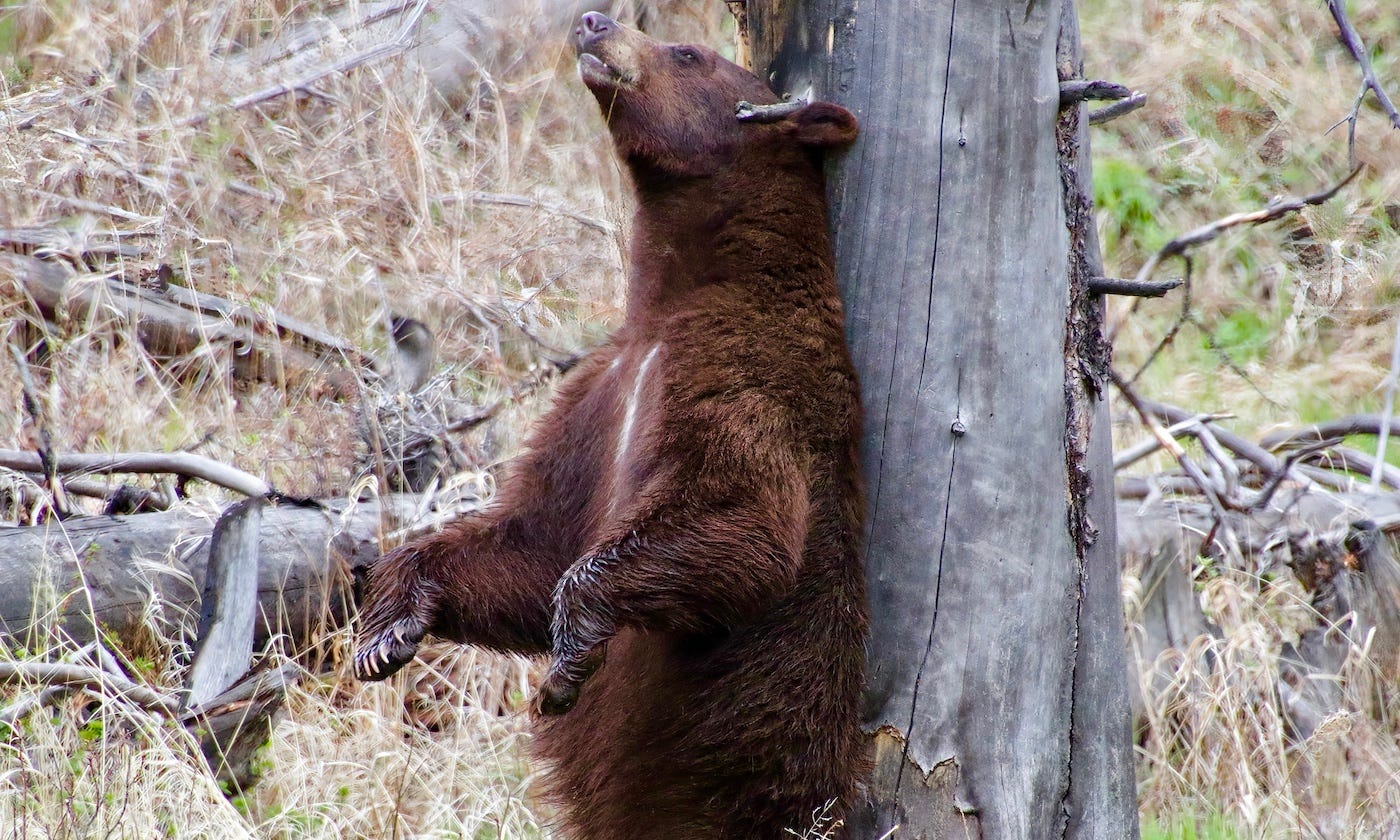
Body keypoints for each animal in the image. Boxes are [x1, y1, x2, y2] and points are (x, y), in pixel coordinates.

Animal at [354, 12, 867, 839]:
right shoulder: (596, 399)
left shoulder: (745, 375)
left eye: (689, 54)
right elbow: (533, 543)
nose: (595, 22)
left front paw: (566, 666)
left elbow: (742, 523)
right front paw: (388, 627)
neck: (677, 296)